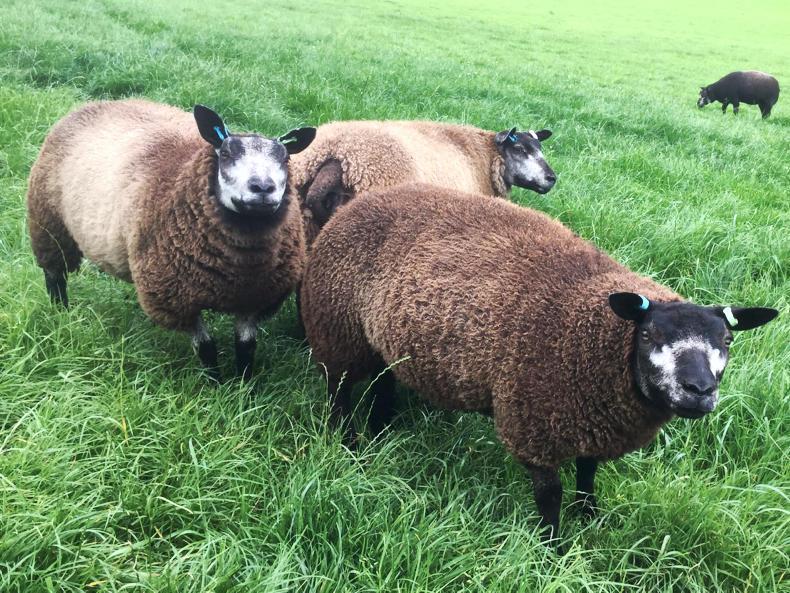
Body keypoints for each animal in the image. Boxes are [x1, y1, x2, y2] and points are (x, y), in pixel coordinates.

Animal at [27, 99, 316, 380]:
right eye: (225, 154)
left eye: (285, 159)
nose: (263, 187)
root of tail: (93, 104)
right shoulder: (175, 298)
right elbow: (206, 347)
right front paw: (215, 385)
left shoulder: (254, 298)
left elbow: (246, 348)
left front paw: (245, 387)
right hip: (48, 223)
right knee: (54, 275)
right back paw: (61, 313)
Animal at [299, 183, 778, 545]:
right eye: (648, 336)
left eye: (727, 340)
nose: (700, 390)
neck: (590, 336)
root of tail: (358, 201)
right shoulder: (533, 423)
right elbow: (550, 494)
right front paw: (552, 547)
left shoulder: (590, 420)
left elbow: (588, 471)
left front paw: (589, 515)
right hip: (336, 329)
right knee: (338, 390)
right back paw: (349, 443)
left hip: (381, 342)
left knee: (383, 380)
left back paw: (381, 428)